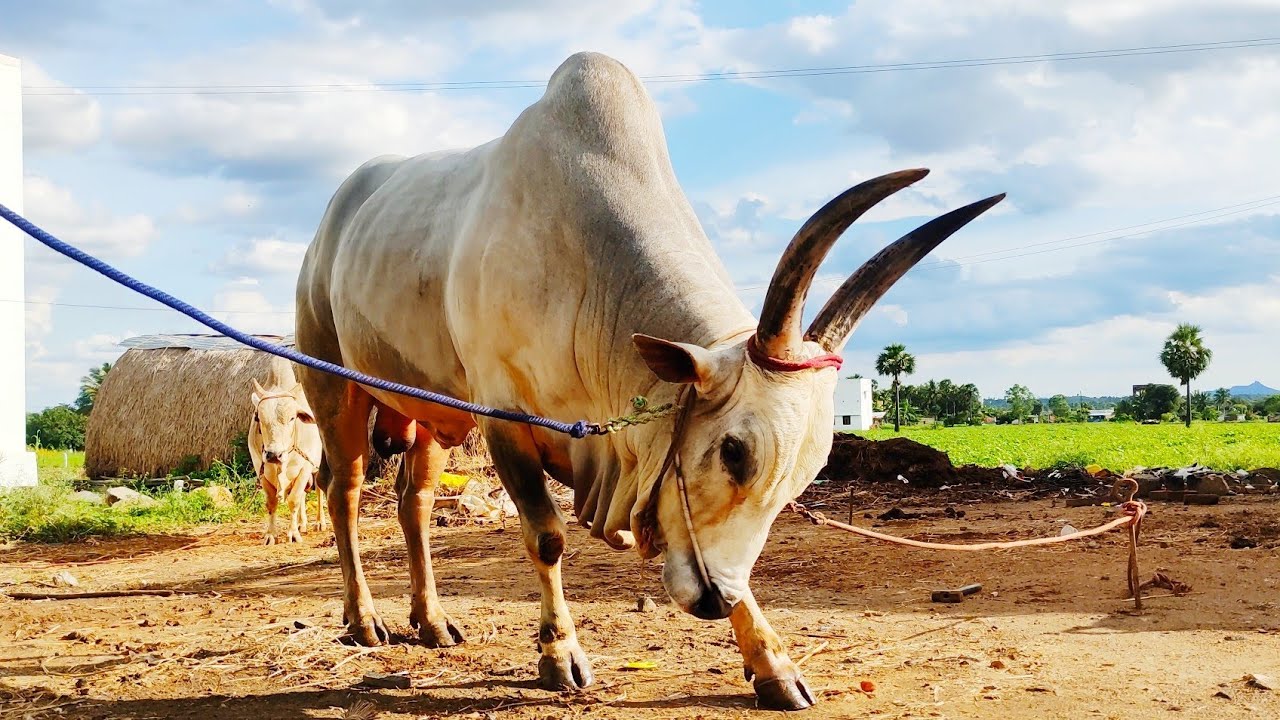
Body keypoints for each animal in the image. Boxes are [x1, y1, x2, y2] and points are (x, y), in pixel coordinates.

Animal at [248, 378, 325, 545]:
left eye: (292, 418)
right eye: (258, 418)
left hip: (317, 466)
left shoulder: (305, 468)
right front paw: (271, 535)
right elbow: (271, 503)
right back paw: (302, 523)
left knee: (319, 491)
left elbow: (293, 500)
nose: (274, 455)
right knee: (303, 496)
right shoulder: (261, 471)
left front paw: (293, 534)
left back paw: (319, 522)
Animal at [294, 51, 1003, 710]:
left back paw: (432, 621)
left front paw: (772, 664)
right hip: (333, 389)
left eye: (805, 477)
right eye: (734, 451)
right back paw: (365, 620)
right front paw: (560, 654)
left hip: (429, 409)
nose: (713, 601)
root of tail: (333, 216)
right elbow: (547, 536)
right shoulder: (502, 414)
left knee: (412, 500)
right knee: (345, 492)